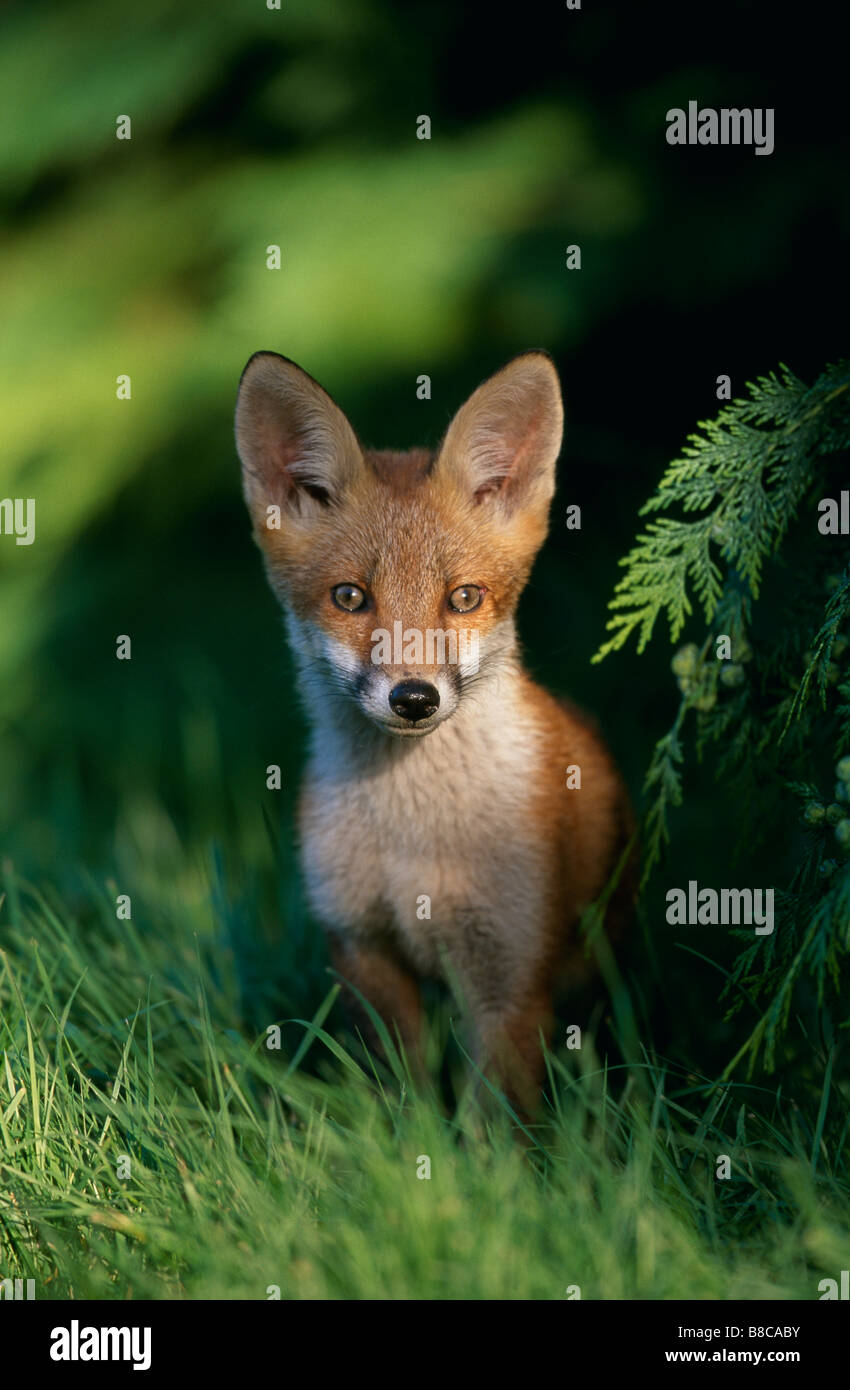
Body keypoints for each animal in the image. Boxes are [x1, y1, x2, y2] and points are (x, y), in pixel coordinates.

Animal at [235, 350, 635, 1117]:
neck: (412, 840)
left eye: (463, 598)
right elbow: (405, 1099)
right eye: (350, 598)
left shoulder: (509, 973)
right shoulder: (364, 950)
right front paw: (411, 1145)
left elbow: (494, 1122)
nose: (414, 698)